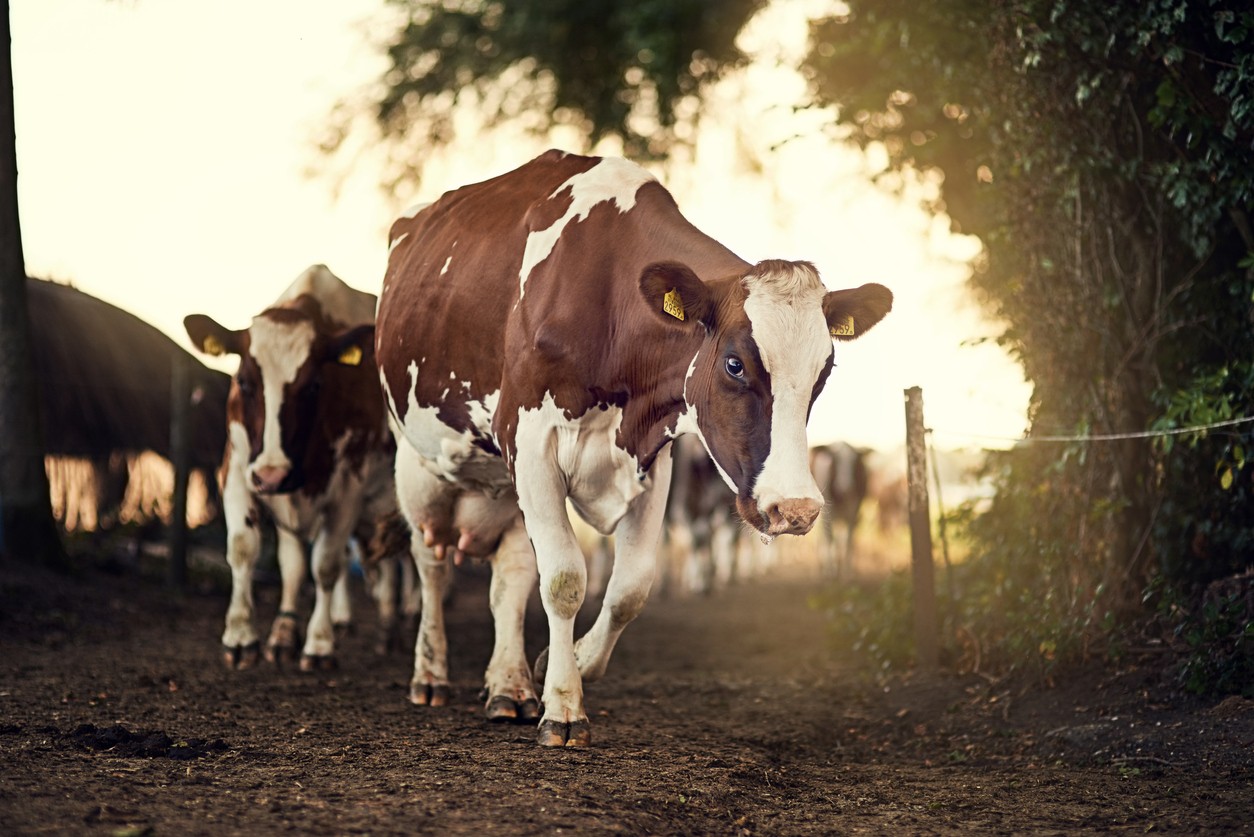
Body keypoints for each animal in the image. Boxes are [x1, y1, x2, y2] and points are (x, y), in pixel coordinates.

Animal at [184, 265, 398, 671]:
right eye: (244, 382)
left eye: (314, 385)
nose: (272, 474)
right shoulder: (237, 469)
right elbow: (246, 549)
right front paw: (244, 636)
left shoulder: (349, 488)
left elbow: (326, 565)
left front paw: (319, 644)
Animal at [809, 442, 870, 579]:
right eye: (835, 460)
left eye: (854, 461)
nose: (846, 486)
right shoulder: (827, 512)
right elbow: (830, 537)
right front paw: (831, 571)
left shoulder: (854, 510)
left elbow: (848, 539)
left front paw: (847, 572)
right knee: (826, 535)